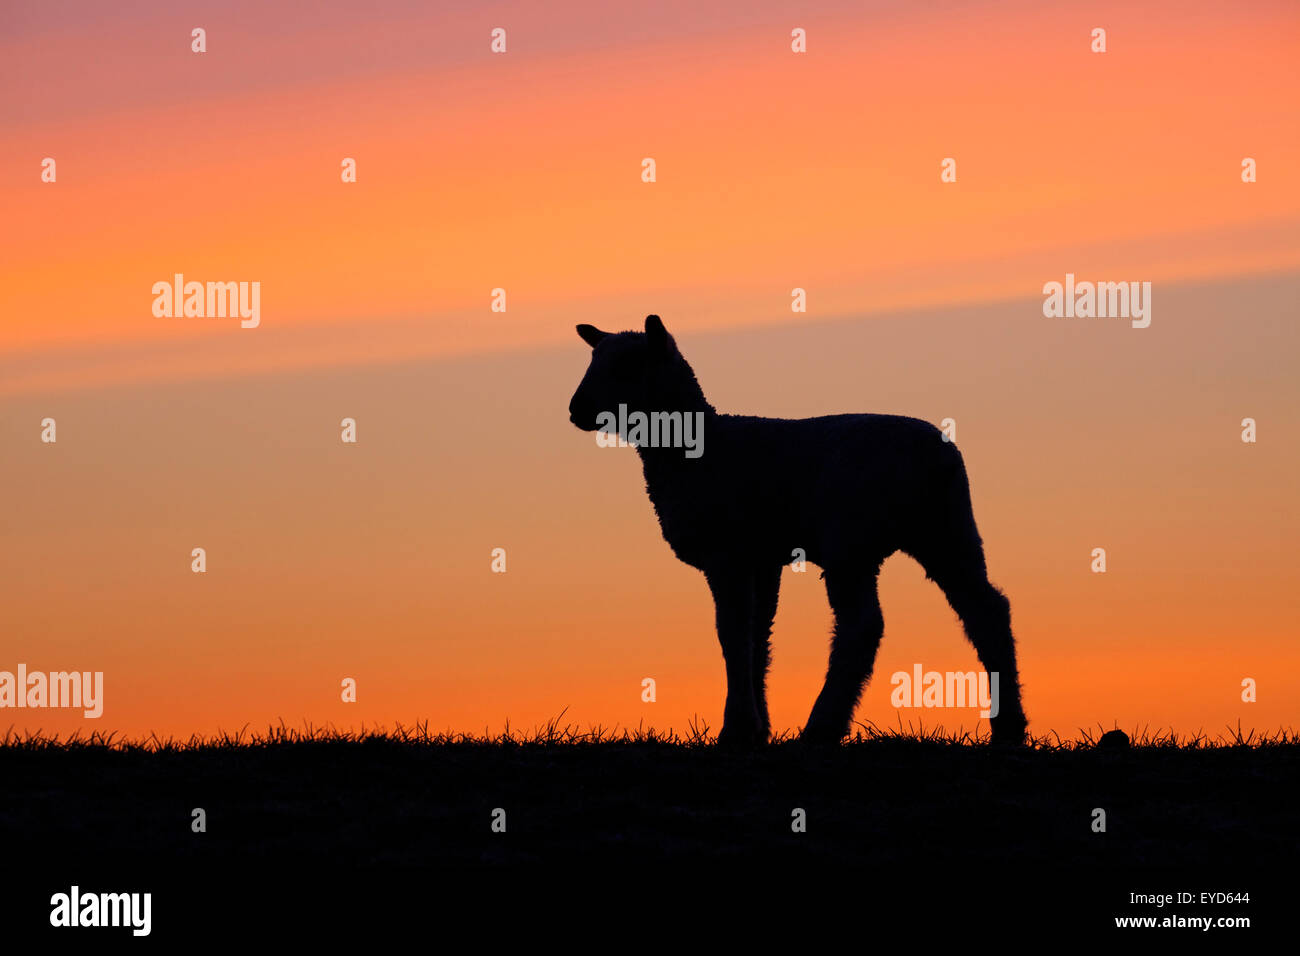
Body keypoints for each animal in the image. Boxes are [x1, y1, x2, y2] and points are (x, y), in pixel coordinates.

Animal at [569, 315, 1027, 747]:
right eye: (592, 360)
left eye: (627, 366)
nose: (575, 409)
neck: (696, 447)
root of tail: (937, 455)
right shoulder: (763, 559)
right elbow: (758, 636)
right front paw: (757, 729)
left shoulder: (728, 553)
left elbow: (732, 633)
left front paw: (737, 728)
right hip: (947, 530)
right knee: (987, 611)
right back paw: (1009, 728)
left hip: (852, 540)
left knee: (862, 626)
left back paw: (822, 727)